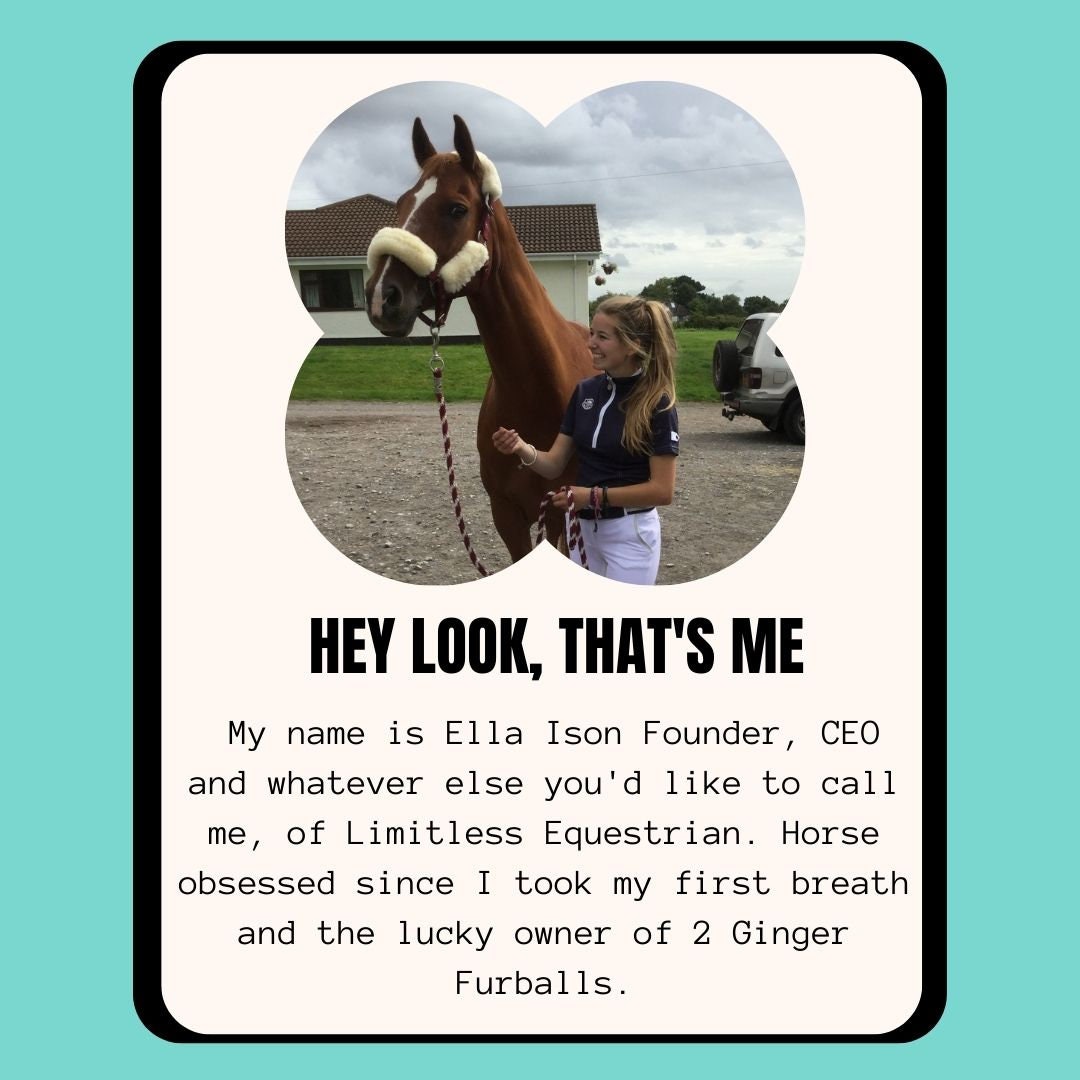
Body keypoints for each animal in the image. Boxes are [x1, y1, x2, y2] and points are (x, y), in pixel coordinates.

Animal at [363, 115, 594, 563]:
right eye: (401, 203)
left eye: (457, 208)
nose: (382, 296)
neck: (535, 392)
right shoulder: (505, 513)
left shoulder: (558, 509)